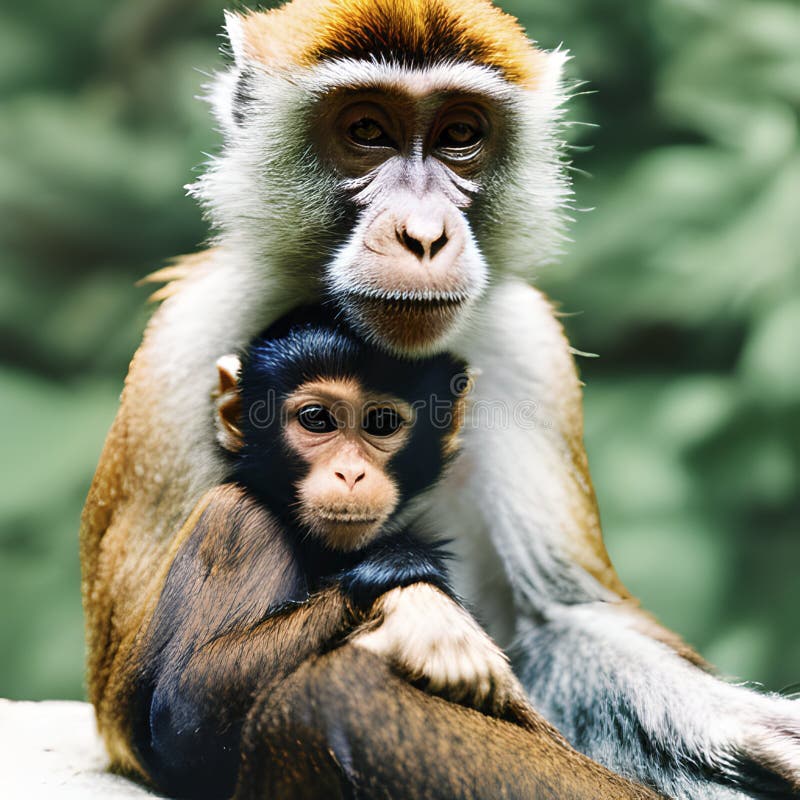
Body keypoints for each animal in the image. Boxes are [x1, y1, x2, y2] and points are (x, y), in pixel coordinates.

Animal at [121, 312, 662, 800]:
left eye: (381, 423)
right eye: (317, 420)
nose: (350, 474)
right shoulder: (238, 520)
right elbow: (185, 709)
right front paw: (415, 597)